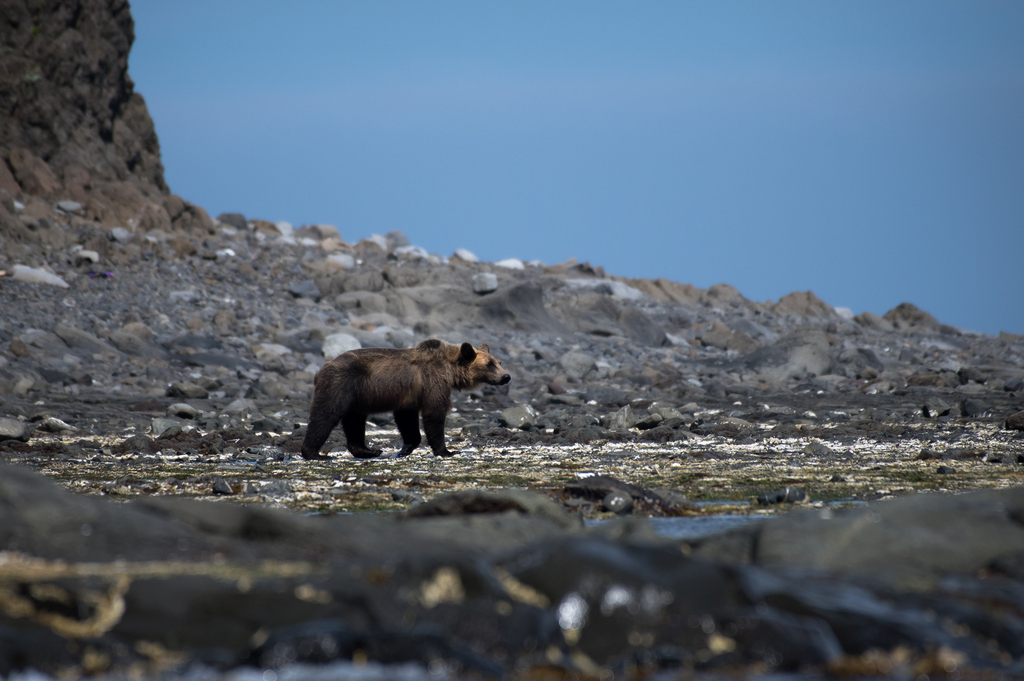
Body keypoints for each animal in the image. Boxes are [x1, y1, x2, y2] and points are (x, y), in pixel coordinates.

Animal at [301, 339, 511, 460]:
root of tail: (322, 369)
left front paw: (404, 448)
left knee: (354, 421)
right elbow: (434, 413)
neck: (451, 369)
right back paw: (315, 454)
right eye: (490, 364)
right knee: (325, 415)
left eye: (499, 362)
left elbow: (406, 418)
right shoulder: (433, 381)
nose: (506, 376)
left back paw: (369, 450)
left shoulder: (409, 394)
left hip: (357, 397)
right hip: (339, 384)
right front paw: (447, 450)